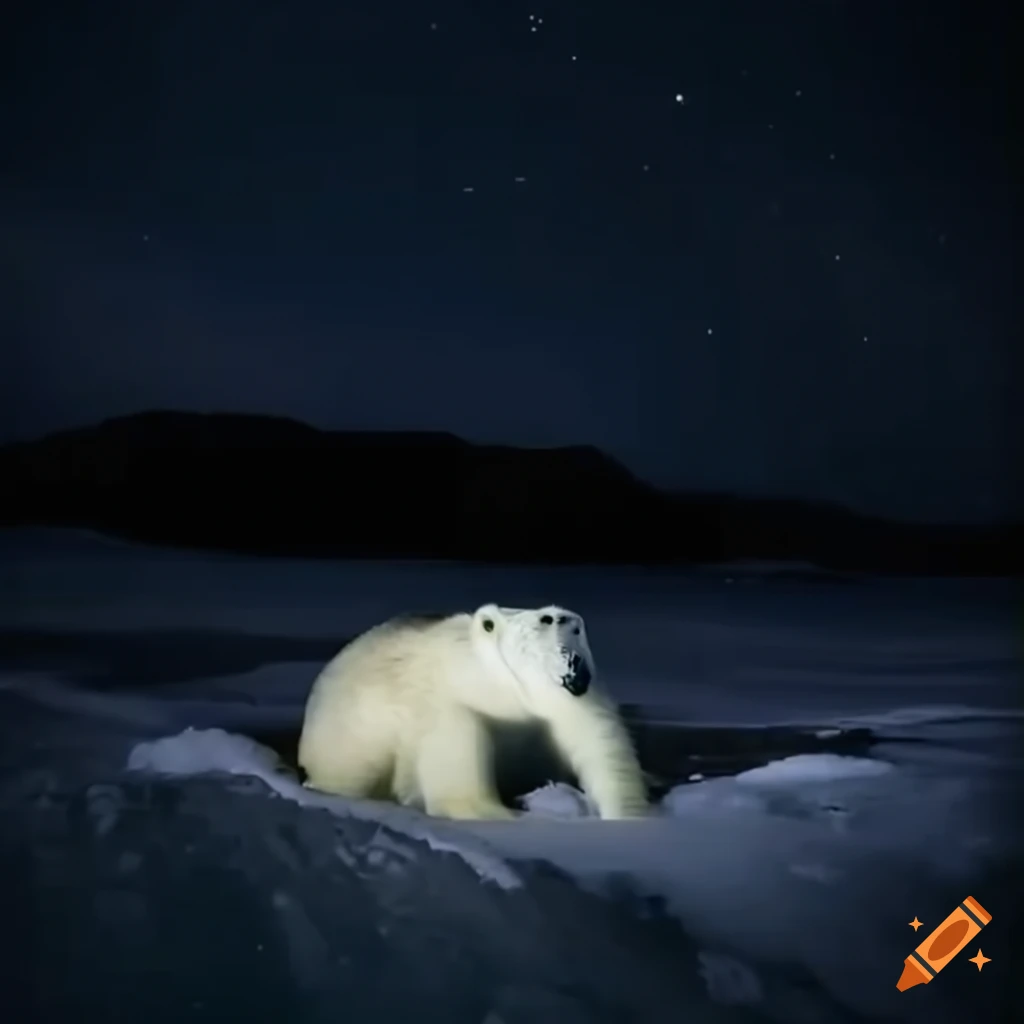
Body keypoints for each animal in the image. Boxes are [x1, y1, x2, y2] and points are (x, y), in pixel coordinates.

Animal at [296, 604, 649, 821]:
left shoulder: (567, 704)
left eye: (580, 630)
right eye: (548, 619)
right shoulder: (444, 700)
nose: (575, 623)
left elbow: (602, 750)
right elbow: (455, 758)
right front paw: (494, 813)